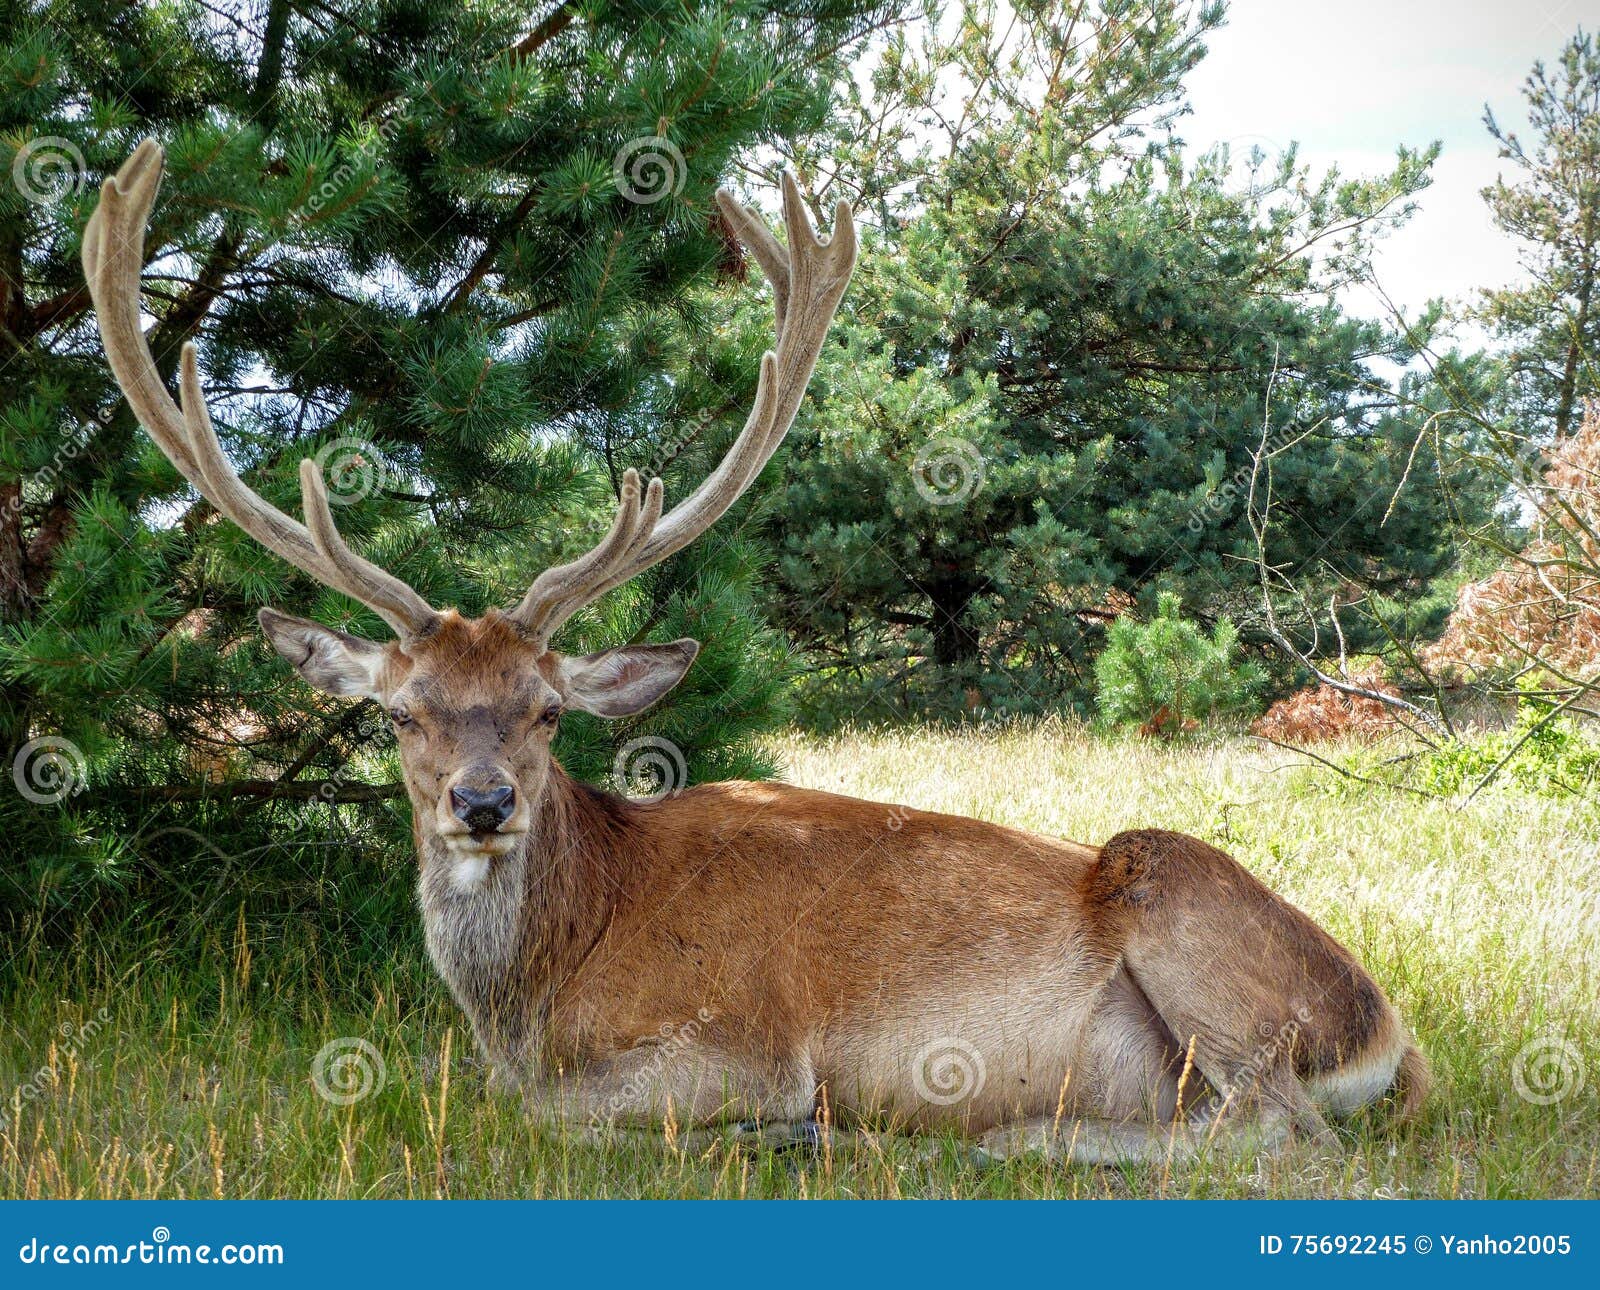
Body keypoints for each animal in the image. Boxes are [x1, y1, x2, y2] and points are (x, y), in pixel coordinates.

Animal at [84, 140, 1427, 1164]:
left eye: (547, 710)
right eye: (401, 712)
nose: (482, 804)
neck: (538, 991)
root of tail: (1387, 1033)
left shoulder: (732, 1044)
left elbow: (545, 1116)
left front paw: (793, 1128)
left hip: (1186, 919)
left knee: (1280, 1130)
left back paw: (995, 1139)